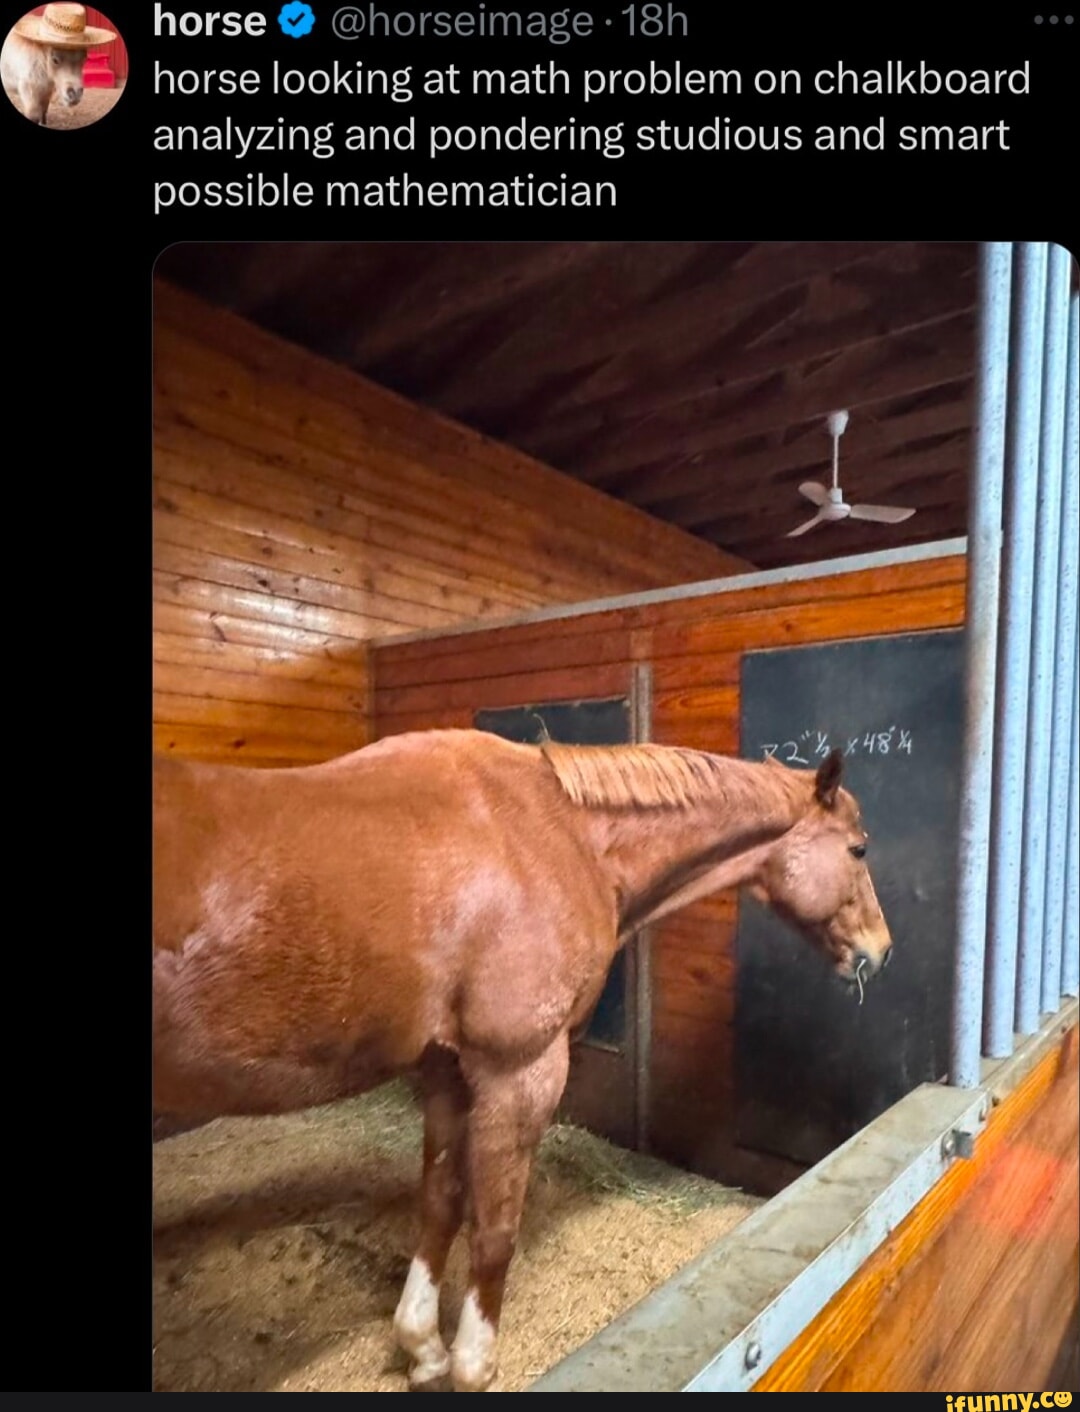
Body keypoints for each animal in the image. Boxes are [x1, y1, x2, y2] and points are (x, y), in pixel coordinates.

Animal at [153, 728, 892, 1392]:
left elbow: (441, 1205)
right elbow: (494, 1231)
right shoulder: (520, 1071)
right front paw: (472, 1365)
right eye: (857, 847)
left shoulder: (447, 1072)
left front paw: (423, 1348)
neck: (560, 835)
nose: (878, 950)